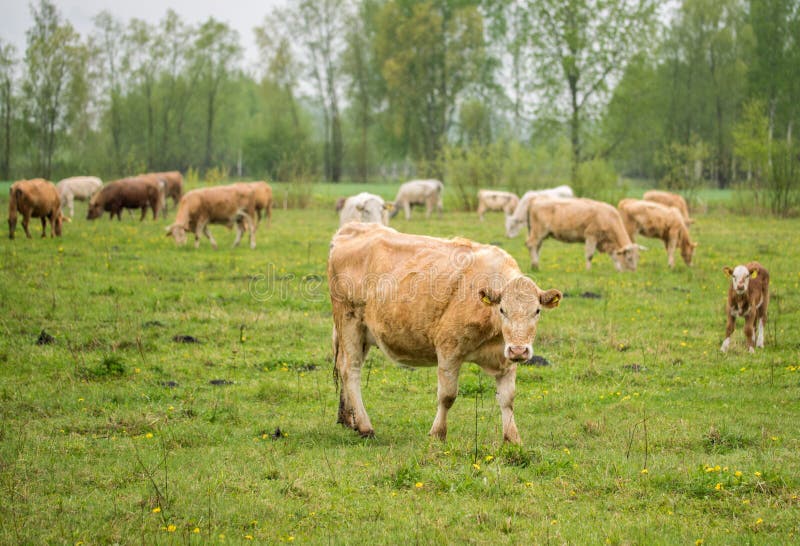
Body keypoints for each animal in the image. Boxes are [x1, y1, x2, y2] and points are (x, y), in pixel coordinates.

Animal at [328, 223, 562, 443]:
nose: (519, 350)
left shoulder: (506, 359)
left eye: (537, 311)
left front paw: (512, 438)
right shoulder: (449, 349)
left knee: (346, 366)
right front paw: (437, 433)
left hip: (363, 334)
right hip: (349, 321)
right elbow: (447, 396)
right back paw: (365, 427)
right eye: (502, 310)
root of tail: (352, 228)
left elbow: (508, 398)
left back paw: (349, 420)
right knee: (351, 370)